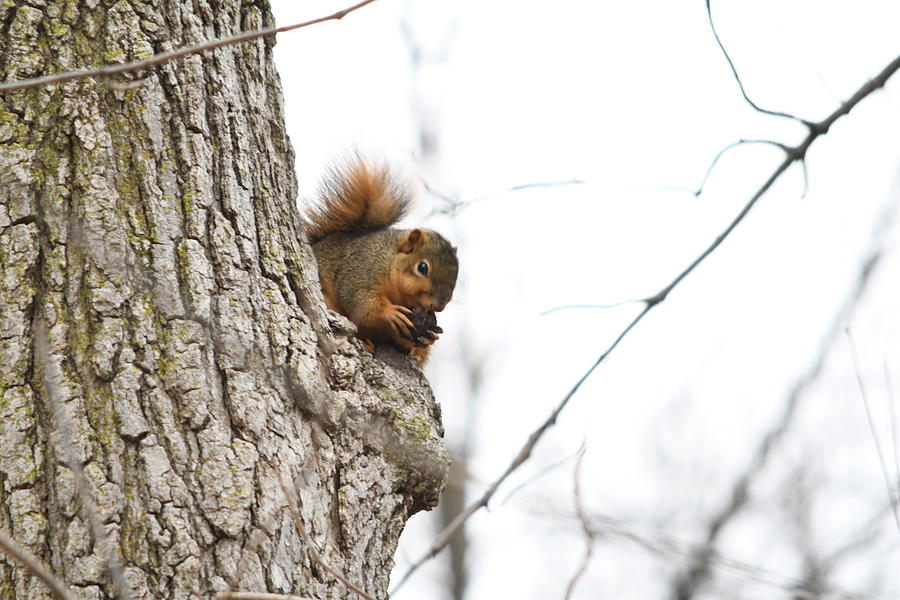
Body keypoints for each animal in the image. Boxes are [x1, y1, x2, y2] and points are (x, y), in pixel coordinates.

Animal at [305, 158, 458, 363]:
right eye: (423, 267)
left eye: (456, 276)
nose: (439, 307)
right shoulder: (363, 267)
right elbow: (358, 298)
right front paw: (389, 312)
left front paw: (428, 336)